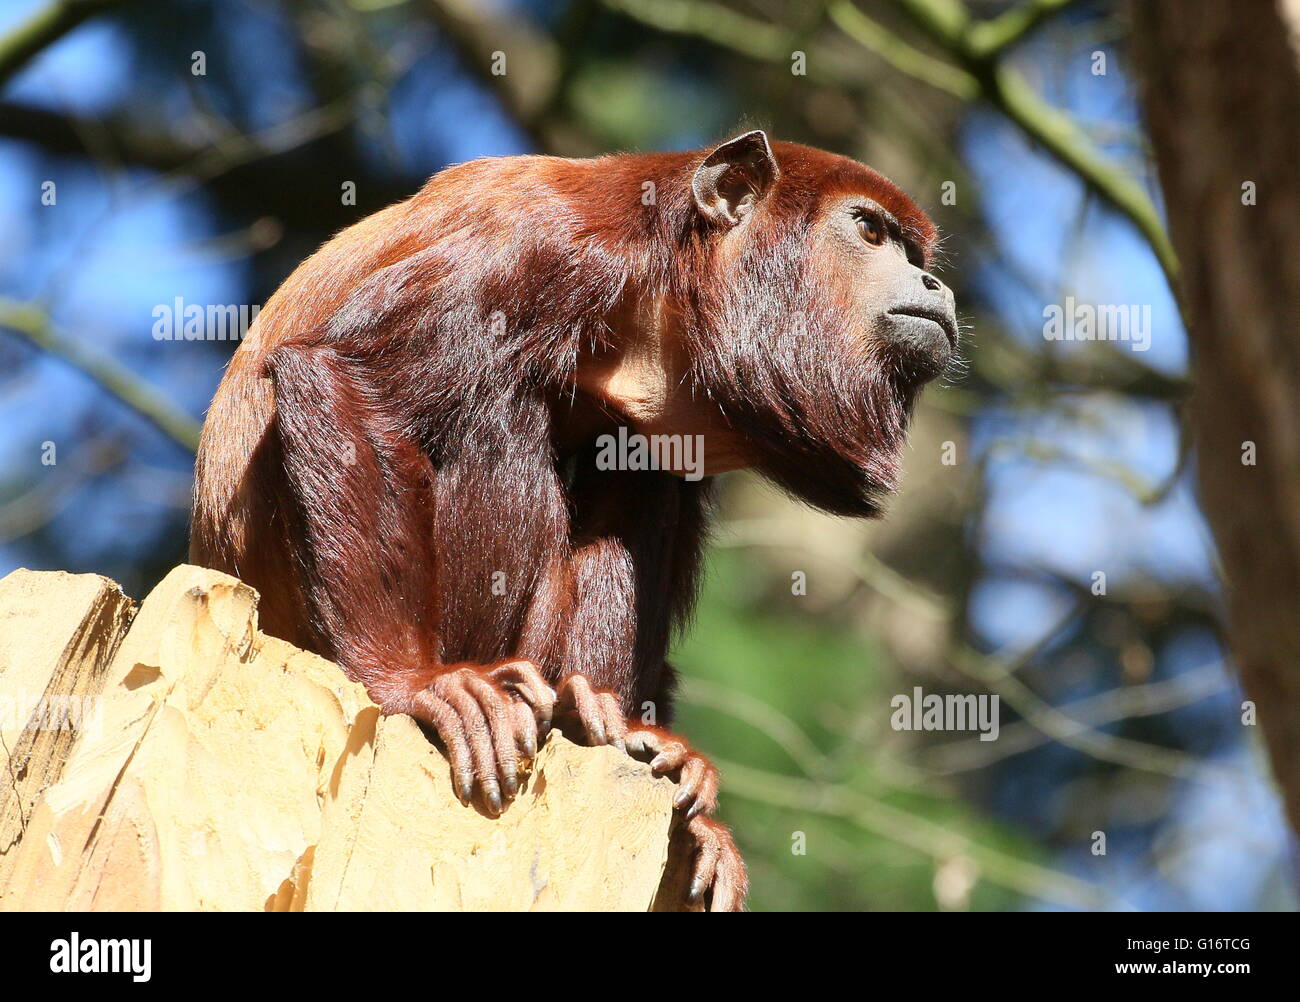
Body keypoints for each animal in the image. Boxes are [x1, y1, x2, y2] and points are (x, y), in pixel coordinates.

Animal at [189, 130, 956, 911]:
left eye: (915, 255)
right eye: (869, 231)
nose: (935, 286)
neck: (659, 290)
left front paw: (698, 822)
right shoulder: (537, 248)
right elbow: (336, 372)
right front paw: (411, 683)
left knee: (638, 468)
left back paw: (595, 714)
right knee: (497, 406)